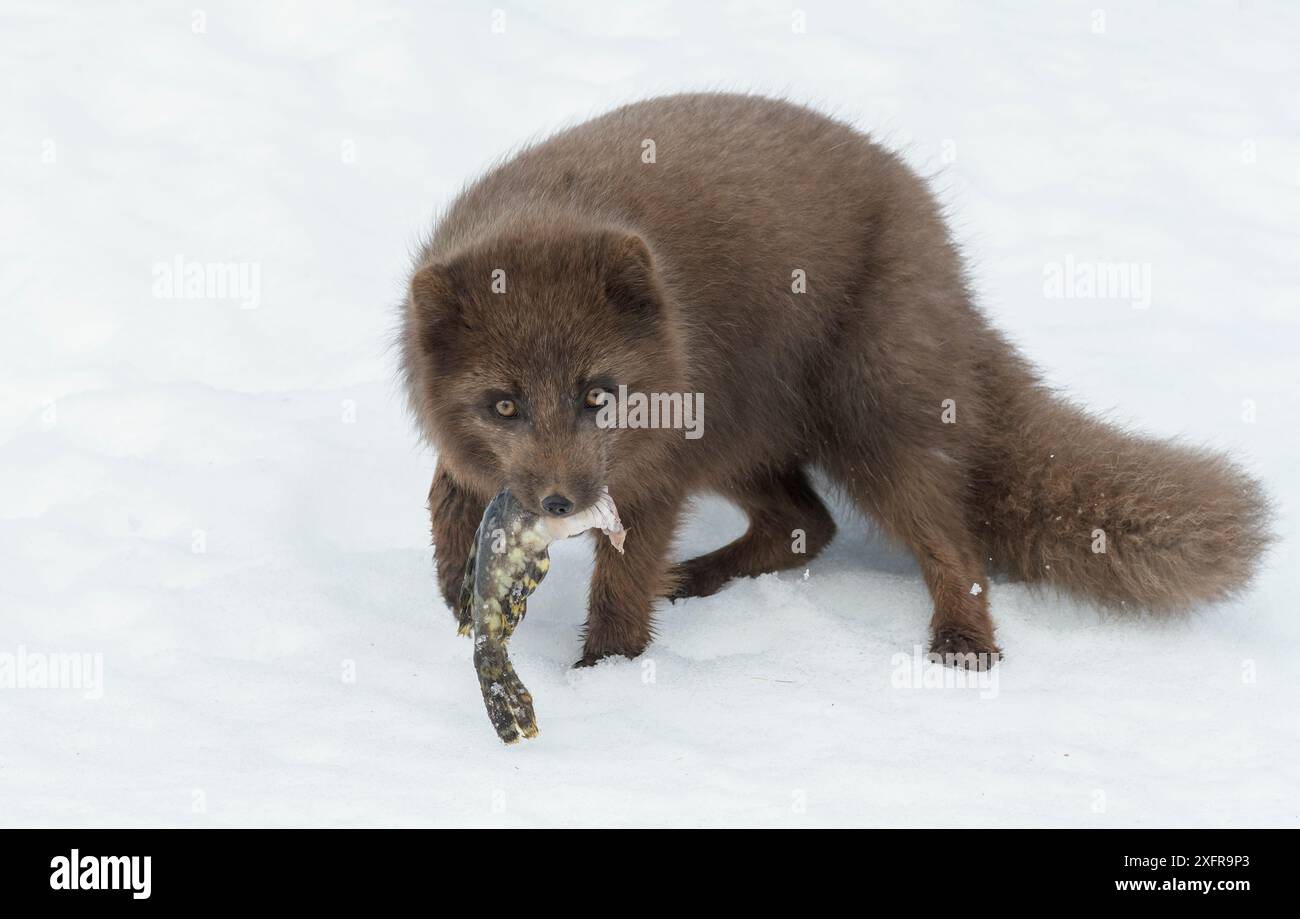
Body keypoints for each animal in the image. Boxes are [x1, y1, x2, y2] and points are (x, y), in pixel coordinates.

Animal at [401, 93, 1271, 668]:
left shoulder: (652, 478)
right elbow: (446, 492)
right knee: (807, 522)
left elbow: (619, 588)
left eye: (598, 394)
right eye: (503, 404)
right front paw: (455, 594)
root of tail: (947, 259)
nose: (560, 503)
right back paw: (696, 576)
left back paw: (963, 643)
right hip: (740, 435)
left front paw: (604, 673)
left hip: (874, 423)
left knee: (950, 542)